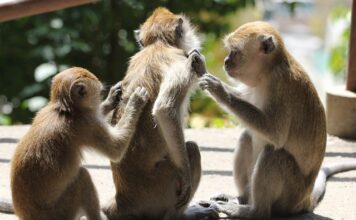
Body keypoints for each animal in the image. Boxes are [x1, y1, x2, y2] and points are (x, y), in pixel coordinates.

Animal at [7, 67, 149, 220]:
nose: (103, 95)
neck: (65, 110)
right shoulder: (86, 124)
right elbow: (116, 149)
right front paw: (135, 101)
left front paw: (112, 99)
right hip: (62, 212)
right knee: (82, 177)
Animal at [103, 6, 218, 220]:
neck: (158, 44)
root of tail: (123, 201)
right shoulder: (180, 60)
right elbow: (165, 109)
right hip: (160, 187)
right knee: (191, 148)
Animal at [196, 21, 356, 218]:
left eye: (235, 51)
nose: (226, 61)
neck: (268, 71)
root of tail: (304, 200)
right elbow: (246, 100)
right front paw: (200, 68)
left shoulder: (280, 85)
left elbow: (276, 134)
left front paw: (220, 91)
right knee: (246, 137)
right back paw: (241, 199)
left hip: (290, 195)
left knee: (274, 154)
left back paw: (254, 211)